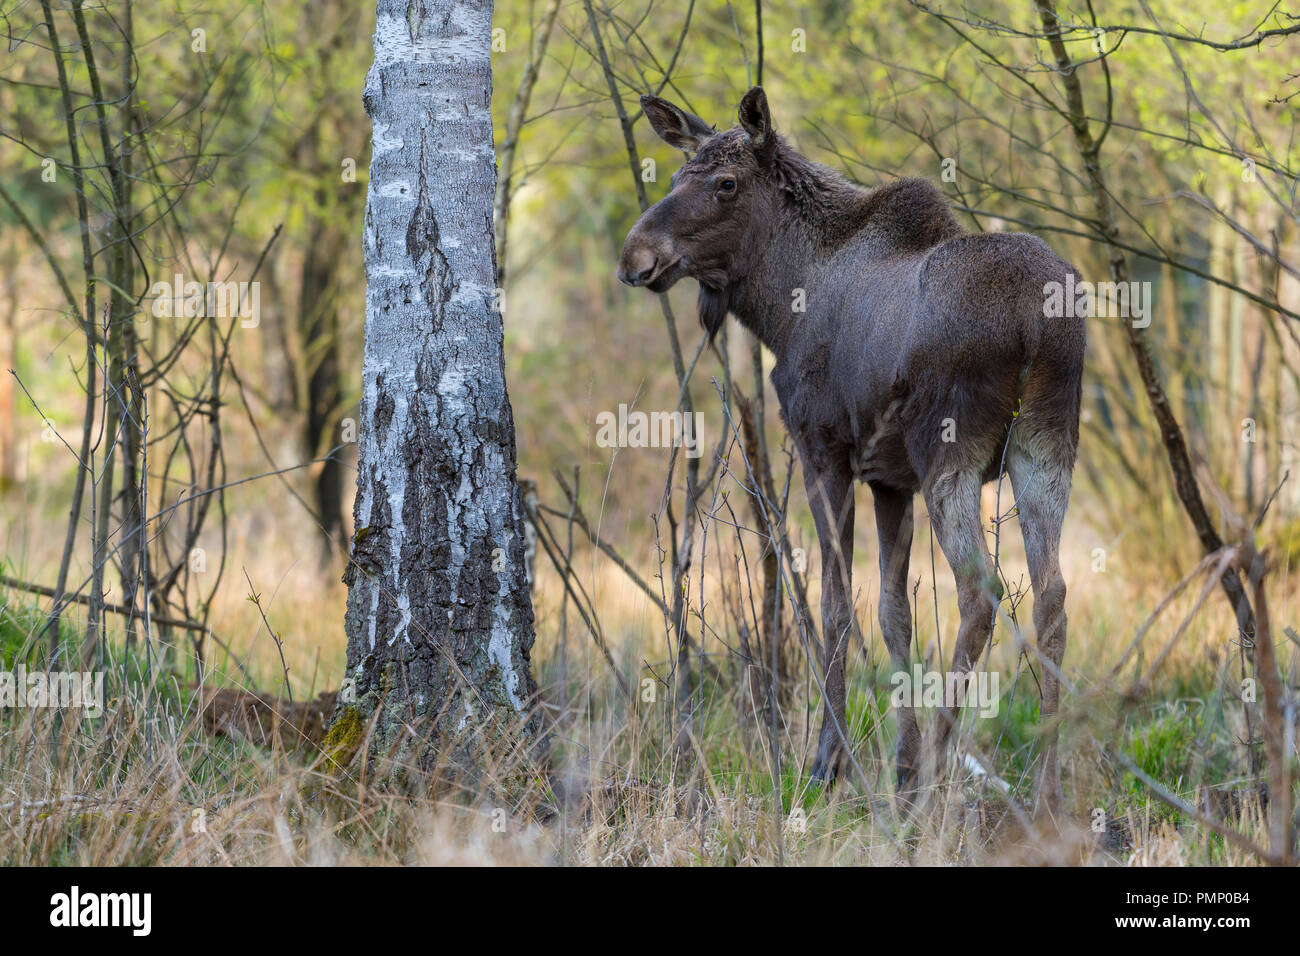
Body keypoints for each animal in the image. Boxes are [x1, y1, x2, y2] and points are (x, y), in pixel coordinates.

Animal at [617, 88, 1085, 817]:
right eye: (672, 179)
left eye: (726, 184)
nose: (635, 256)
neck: (779, 306)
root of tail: (1037, 322)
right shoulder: (891, 480)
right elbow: (894, 614)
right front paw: (901, 767)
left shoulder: (824, 449)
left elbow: (834, 607)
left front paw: (827, 766)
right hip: (1046, 445)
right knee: (1053, 595)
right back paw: (1046, 790)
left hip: (950, 450)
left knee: (981, 589)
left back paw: (944, 774)